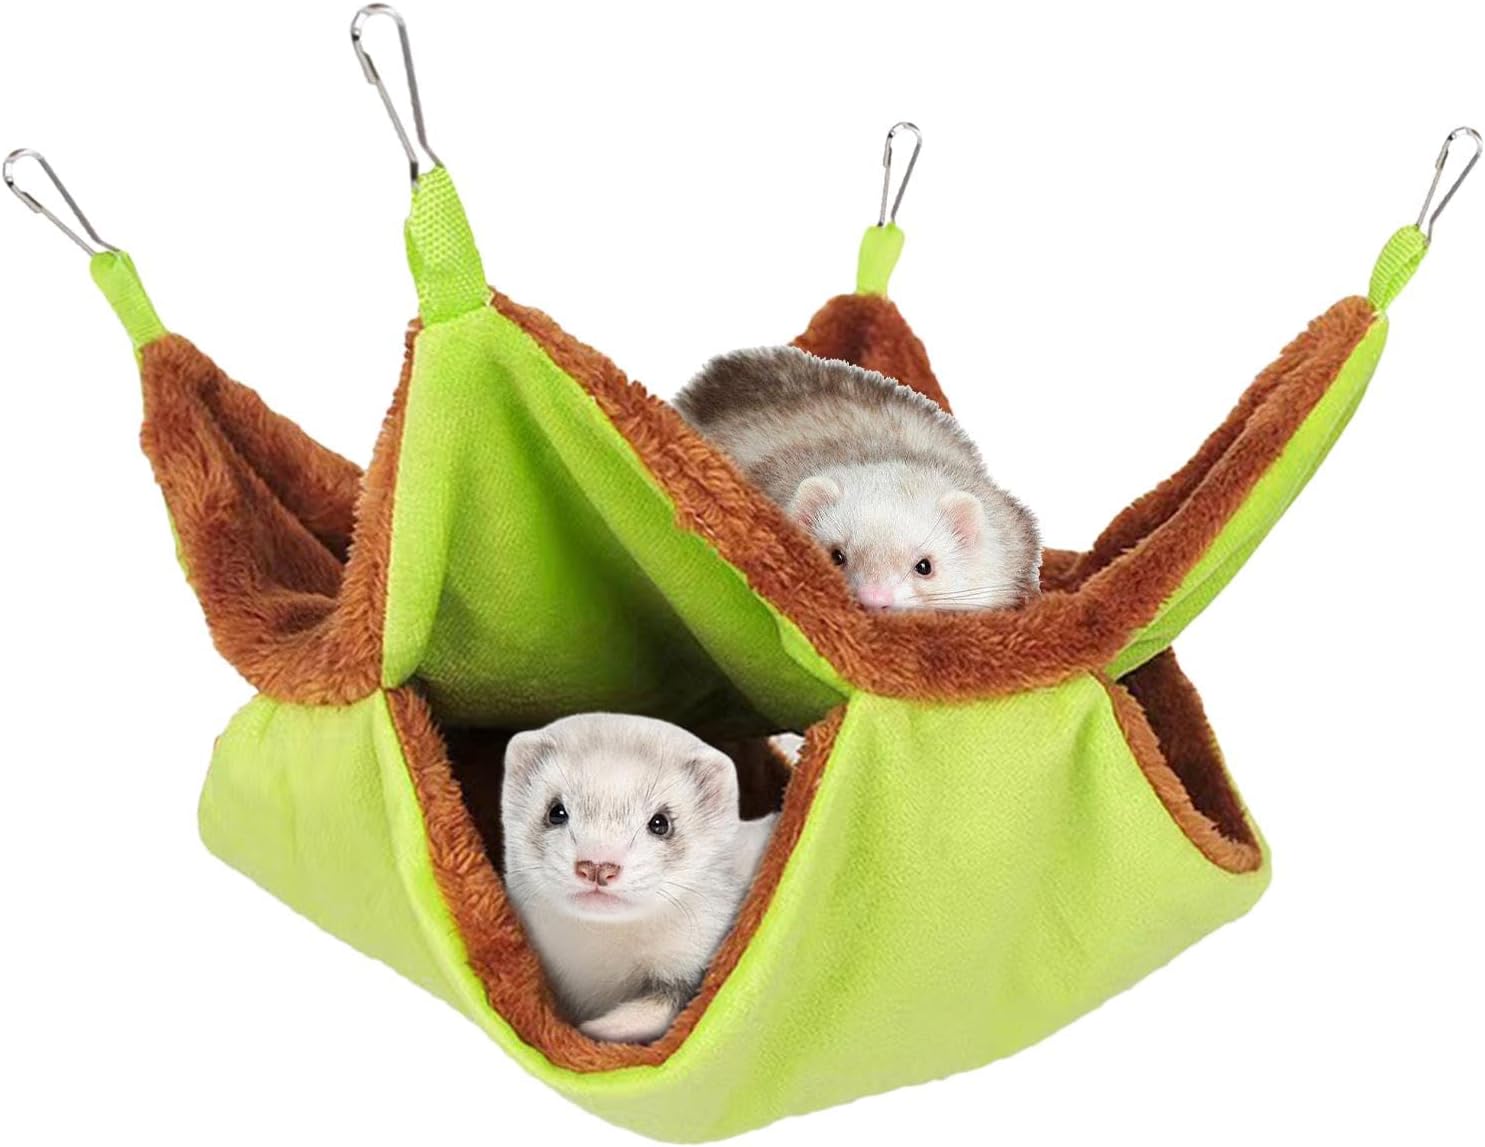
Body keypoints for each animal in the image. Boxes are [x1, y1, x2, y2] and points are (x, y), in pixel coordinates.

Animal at [502, 713, 777, 1044]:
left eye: (661, 822)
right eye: (556, 811)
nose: (597, 864)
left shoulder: (695, 955)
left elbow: (664, 1006)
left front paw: (601, 1028)